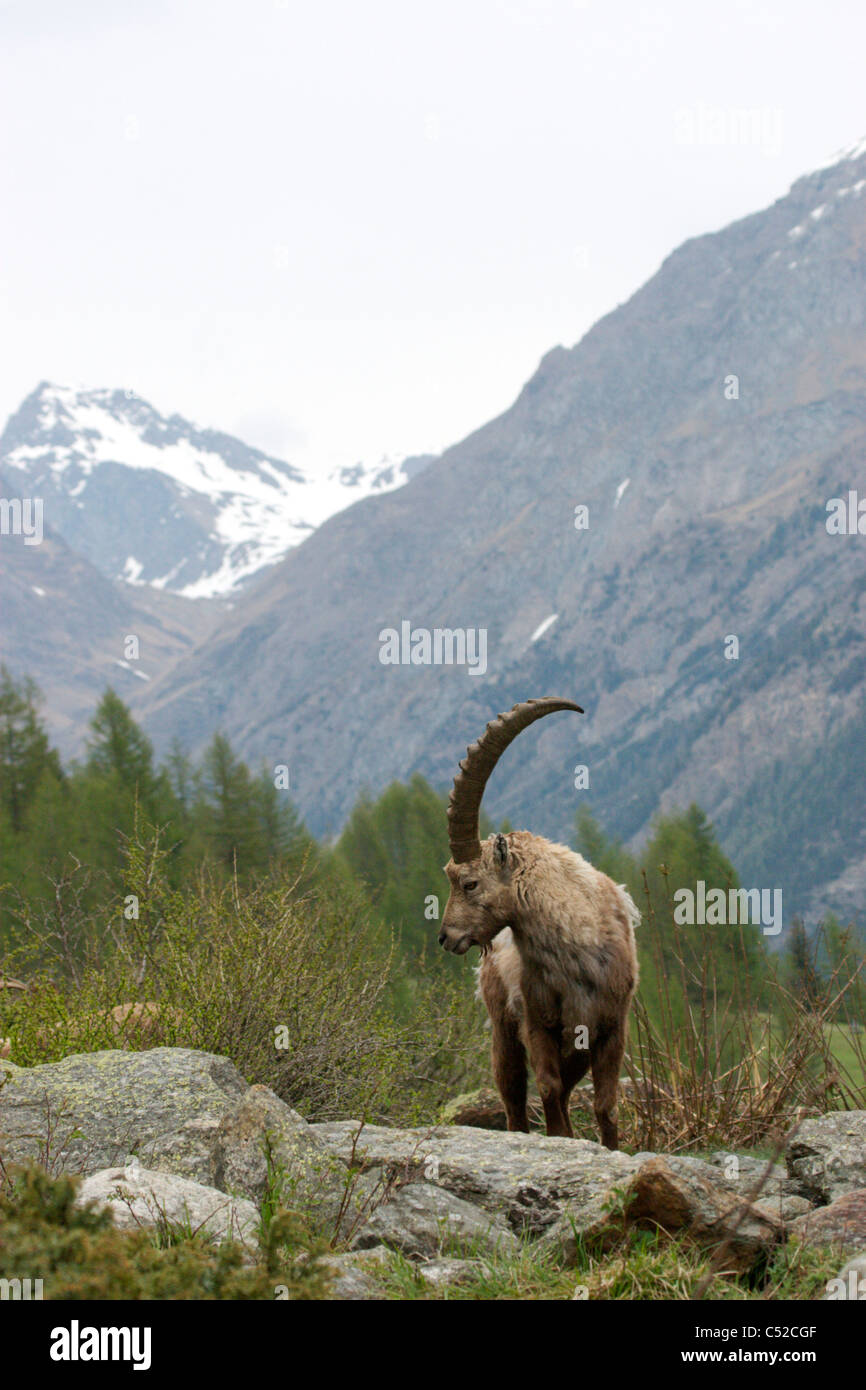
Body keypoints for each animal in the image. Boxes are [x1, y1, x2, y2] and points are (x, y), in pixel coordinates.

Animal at [438, 698, 639, 1150]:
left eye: (469, 882)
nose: (446, 937)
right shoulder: (537, 1022)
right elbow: (547, 1088)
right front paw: (560, 1141)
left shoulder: (610, 1027)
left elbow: (605, 1105)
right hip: (503, 1029)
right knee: (515, 1099)